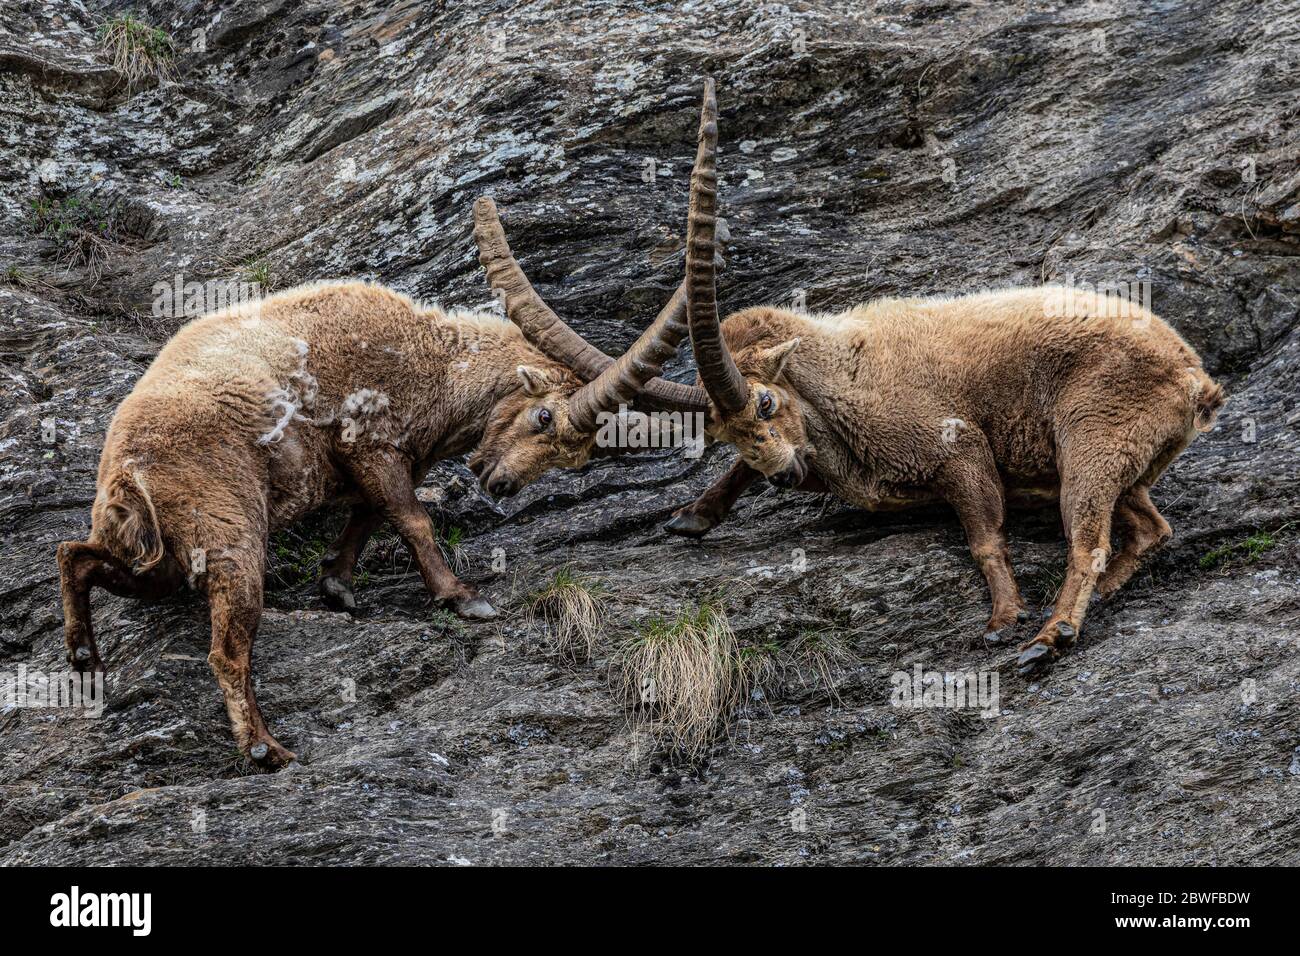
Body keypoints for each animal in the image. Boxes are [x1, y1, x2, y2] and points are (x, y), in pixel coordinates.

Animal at [665, 80, 1225, 675]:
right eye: (721, 433)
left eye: (767, 403)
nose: (783, 477)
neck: (843, 373)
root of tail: (1193, 379)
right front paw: (691, 517)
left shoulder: (955, 450)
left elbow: (985, 537)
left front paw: (1004, 618)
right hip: (1123, 459)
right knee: (1150, 527)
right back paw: (1103, 594)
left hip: (1092, 437)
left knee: (1089, 542)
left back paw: (1050, 636)